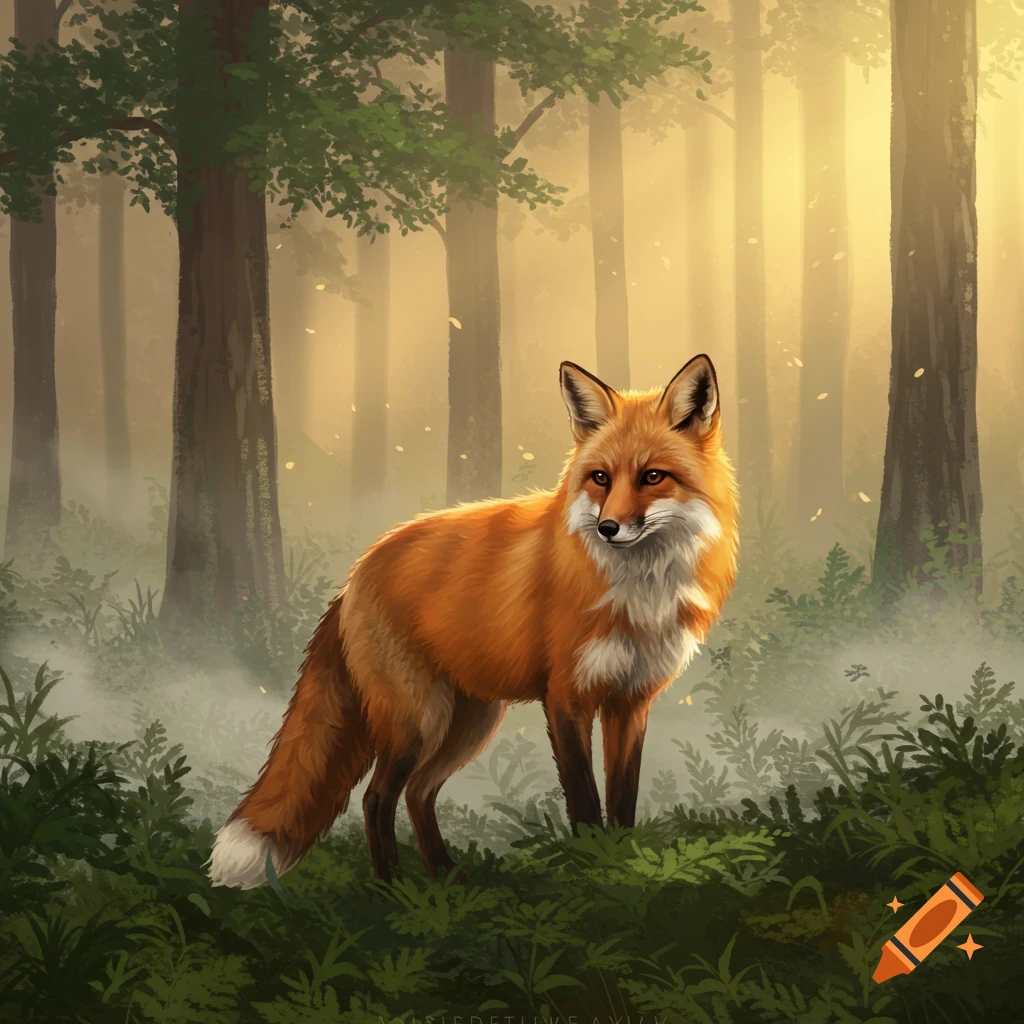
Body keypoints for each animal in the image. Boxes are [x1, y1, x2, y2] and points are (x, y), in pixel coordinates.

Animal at [207, 353, 739, 889]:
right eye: (601, 478)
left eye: (653, 477)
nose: (608, 528)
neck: (638, 591)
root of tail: (358, 569)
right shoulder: (565, 698)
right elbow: (585, 802)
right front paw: (593, 872)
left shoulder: (630, 701)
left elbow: (623, 803)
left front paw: (620, 870)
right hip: (417, 721)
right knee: (377, 797)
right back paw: (392, 887)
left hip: (467, 723)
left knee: (419, 793)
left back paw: (446, 877)